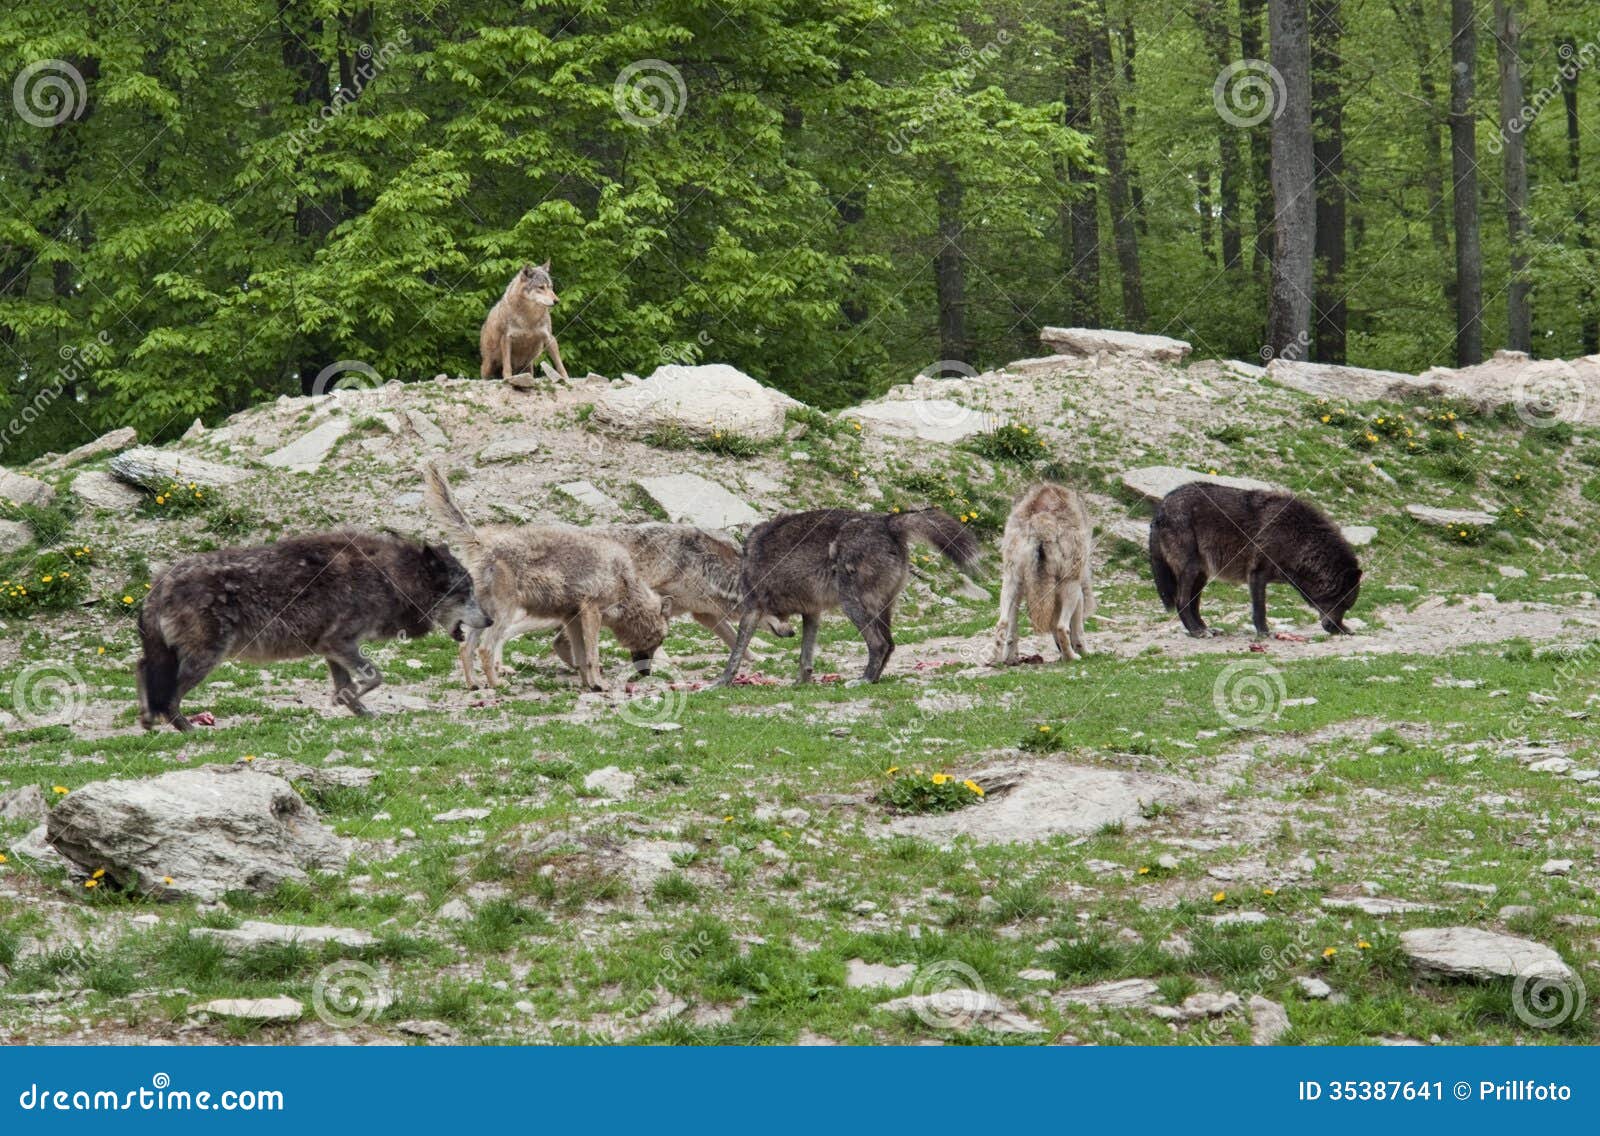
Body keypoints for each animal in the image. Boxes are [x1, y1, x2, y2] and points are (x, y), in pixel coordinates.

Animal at [136, 531, 488, 731]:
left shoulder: (331, 649)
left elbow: (349, 686)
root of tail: (159, 584)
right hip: (205, 659)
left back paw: (148, 720)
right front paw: (349, 701)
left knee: (141, 668)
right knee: (169, 694)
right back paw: (186, 728)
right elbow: (375, 677)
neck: (391, 577)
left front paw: (360, 712)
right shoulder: (340, 643)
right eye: (466, 593)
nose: (489, 620)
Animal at [422, 464, 669, 690]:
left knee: (465, 648)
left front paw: (587, 685)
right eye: (660, 640)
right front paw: (599, 684)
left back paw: (474, 684)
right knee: (485, 649)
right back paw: (497, 684)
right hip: (504, 615)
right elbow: (593, 656)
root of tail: (482, 542)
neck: (625, 583)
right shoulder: (592, 613)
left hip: (486, 616)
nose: (646, 674)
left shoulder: (572, 619)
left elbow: (581, 658)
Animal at [713, 508, 983, 686]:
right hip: (881, 608)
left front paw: (722, 682)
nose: (789, 633)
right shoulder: (812, 613)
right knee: (890, 644)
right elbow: (805, 657)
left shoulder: (752, 609)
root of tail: (887, 522)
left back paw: (864, 680)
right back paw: (874, 679)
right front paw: (801, 684)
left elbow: (736, 652)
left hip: (851, 605)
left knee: (879, 644)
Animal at [989, 482, 1096, 665]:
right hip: (1070, 584)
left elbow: (1012, 630)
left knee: (1002, 622)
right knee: (1061, 627)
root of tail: (1041, 520)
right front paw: (1086, 652)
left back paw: (999, 660)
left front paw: (1011, 657)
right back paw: (1071, 657)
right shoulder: (1079, 591)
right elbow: (1078, 630)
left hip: (1011, 580)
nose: (1059, 651)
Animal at [1148, 482, 1361, 637]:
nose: (1337, 629)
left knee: (1194, 604)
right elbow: (1260, 609)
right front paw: (1264, 633)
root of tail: (1162, 506)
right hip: (1192, 569)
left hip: (1202, 574)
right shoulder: (1257, 575)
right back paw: (1197, 632)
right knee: (1182, 601)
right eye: (1343, 605)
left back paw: (1205, 629)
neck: (1300, 540)